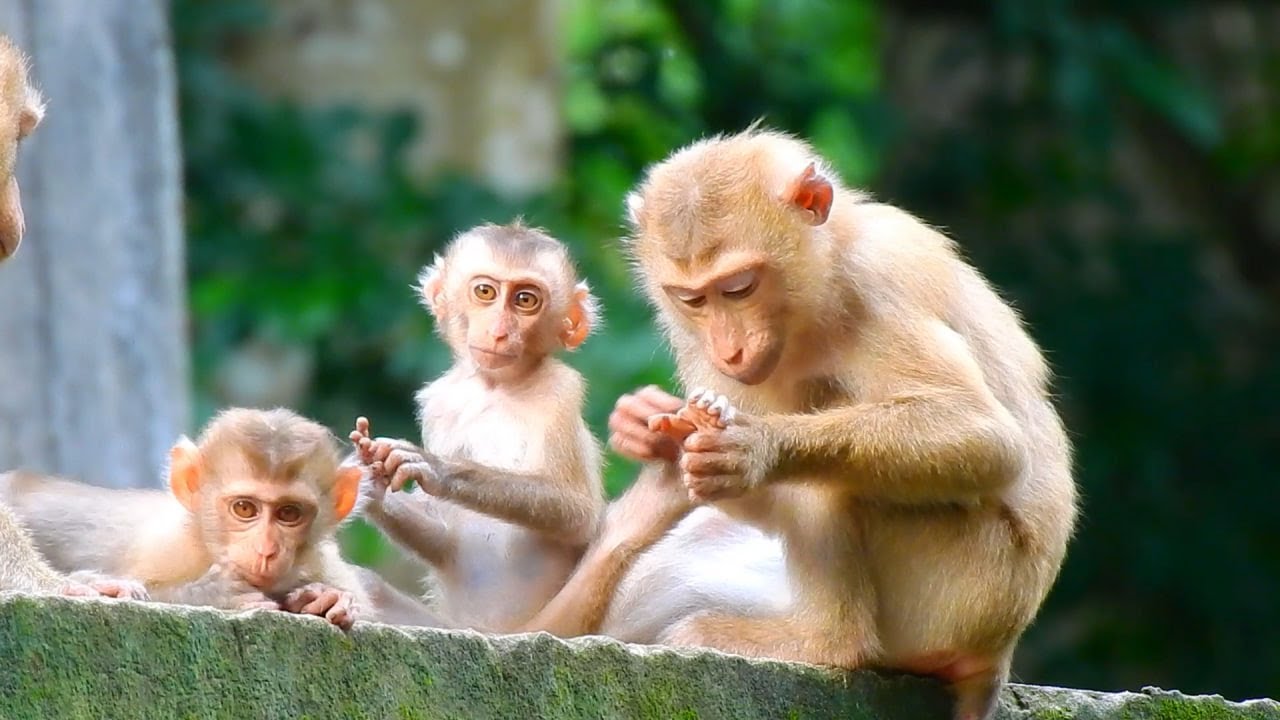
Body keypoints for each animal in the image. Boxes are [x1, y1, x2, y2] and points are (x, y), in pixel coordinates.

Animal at [0, 407, 373, 629]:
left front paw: (328, 598)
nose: (266, 549)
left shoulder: (323, 561)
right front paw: (210, 595)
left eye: (289, 513)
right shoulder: (167, 548)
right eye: (244, 508)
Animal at [350, 221, 606, 632]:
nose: (499, 331)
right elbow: (444, 540)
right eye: (485, 292)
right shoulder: (439, 403)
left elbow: (578, 513)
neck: (495, 388)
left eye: (525, 300)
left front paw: (434, 468)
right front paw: (370, 483)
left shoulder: (561, 391)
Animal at [520, 128, 1078, 720]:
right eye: (692, 299)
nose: (729, 349)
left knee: (834, 477)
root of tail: (999, 649)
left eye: (739, 287)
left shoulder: (879, 281)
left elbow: (984, 436)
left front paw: (758, 448)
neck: (821, 280)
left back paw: (826, 643)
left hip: (962, 589)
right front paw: (648, 430)